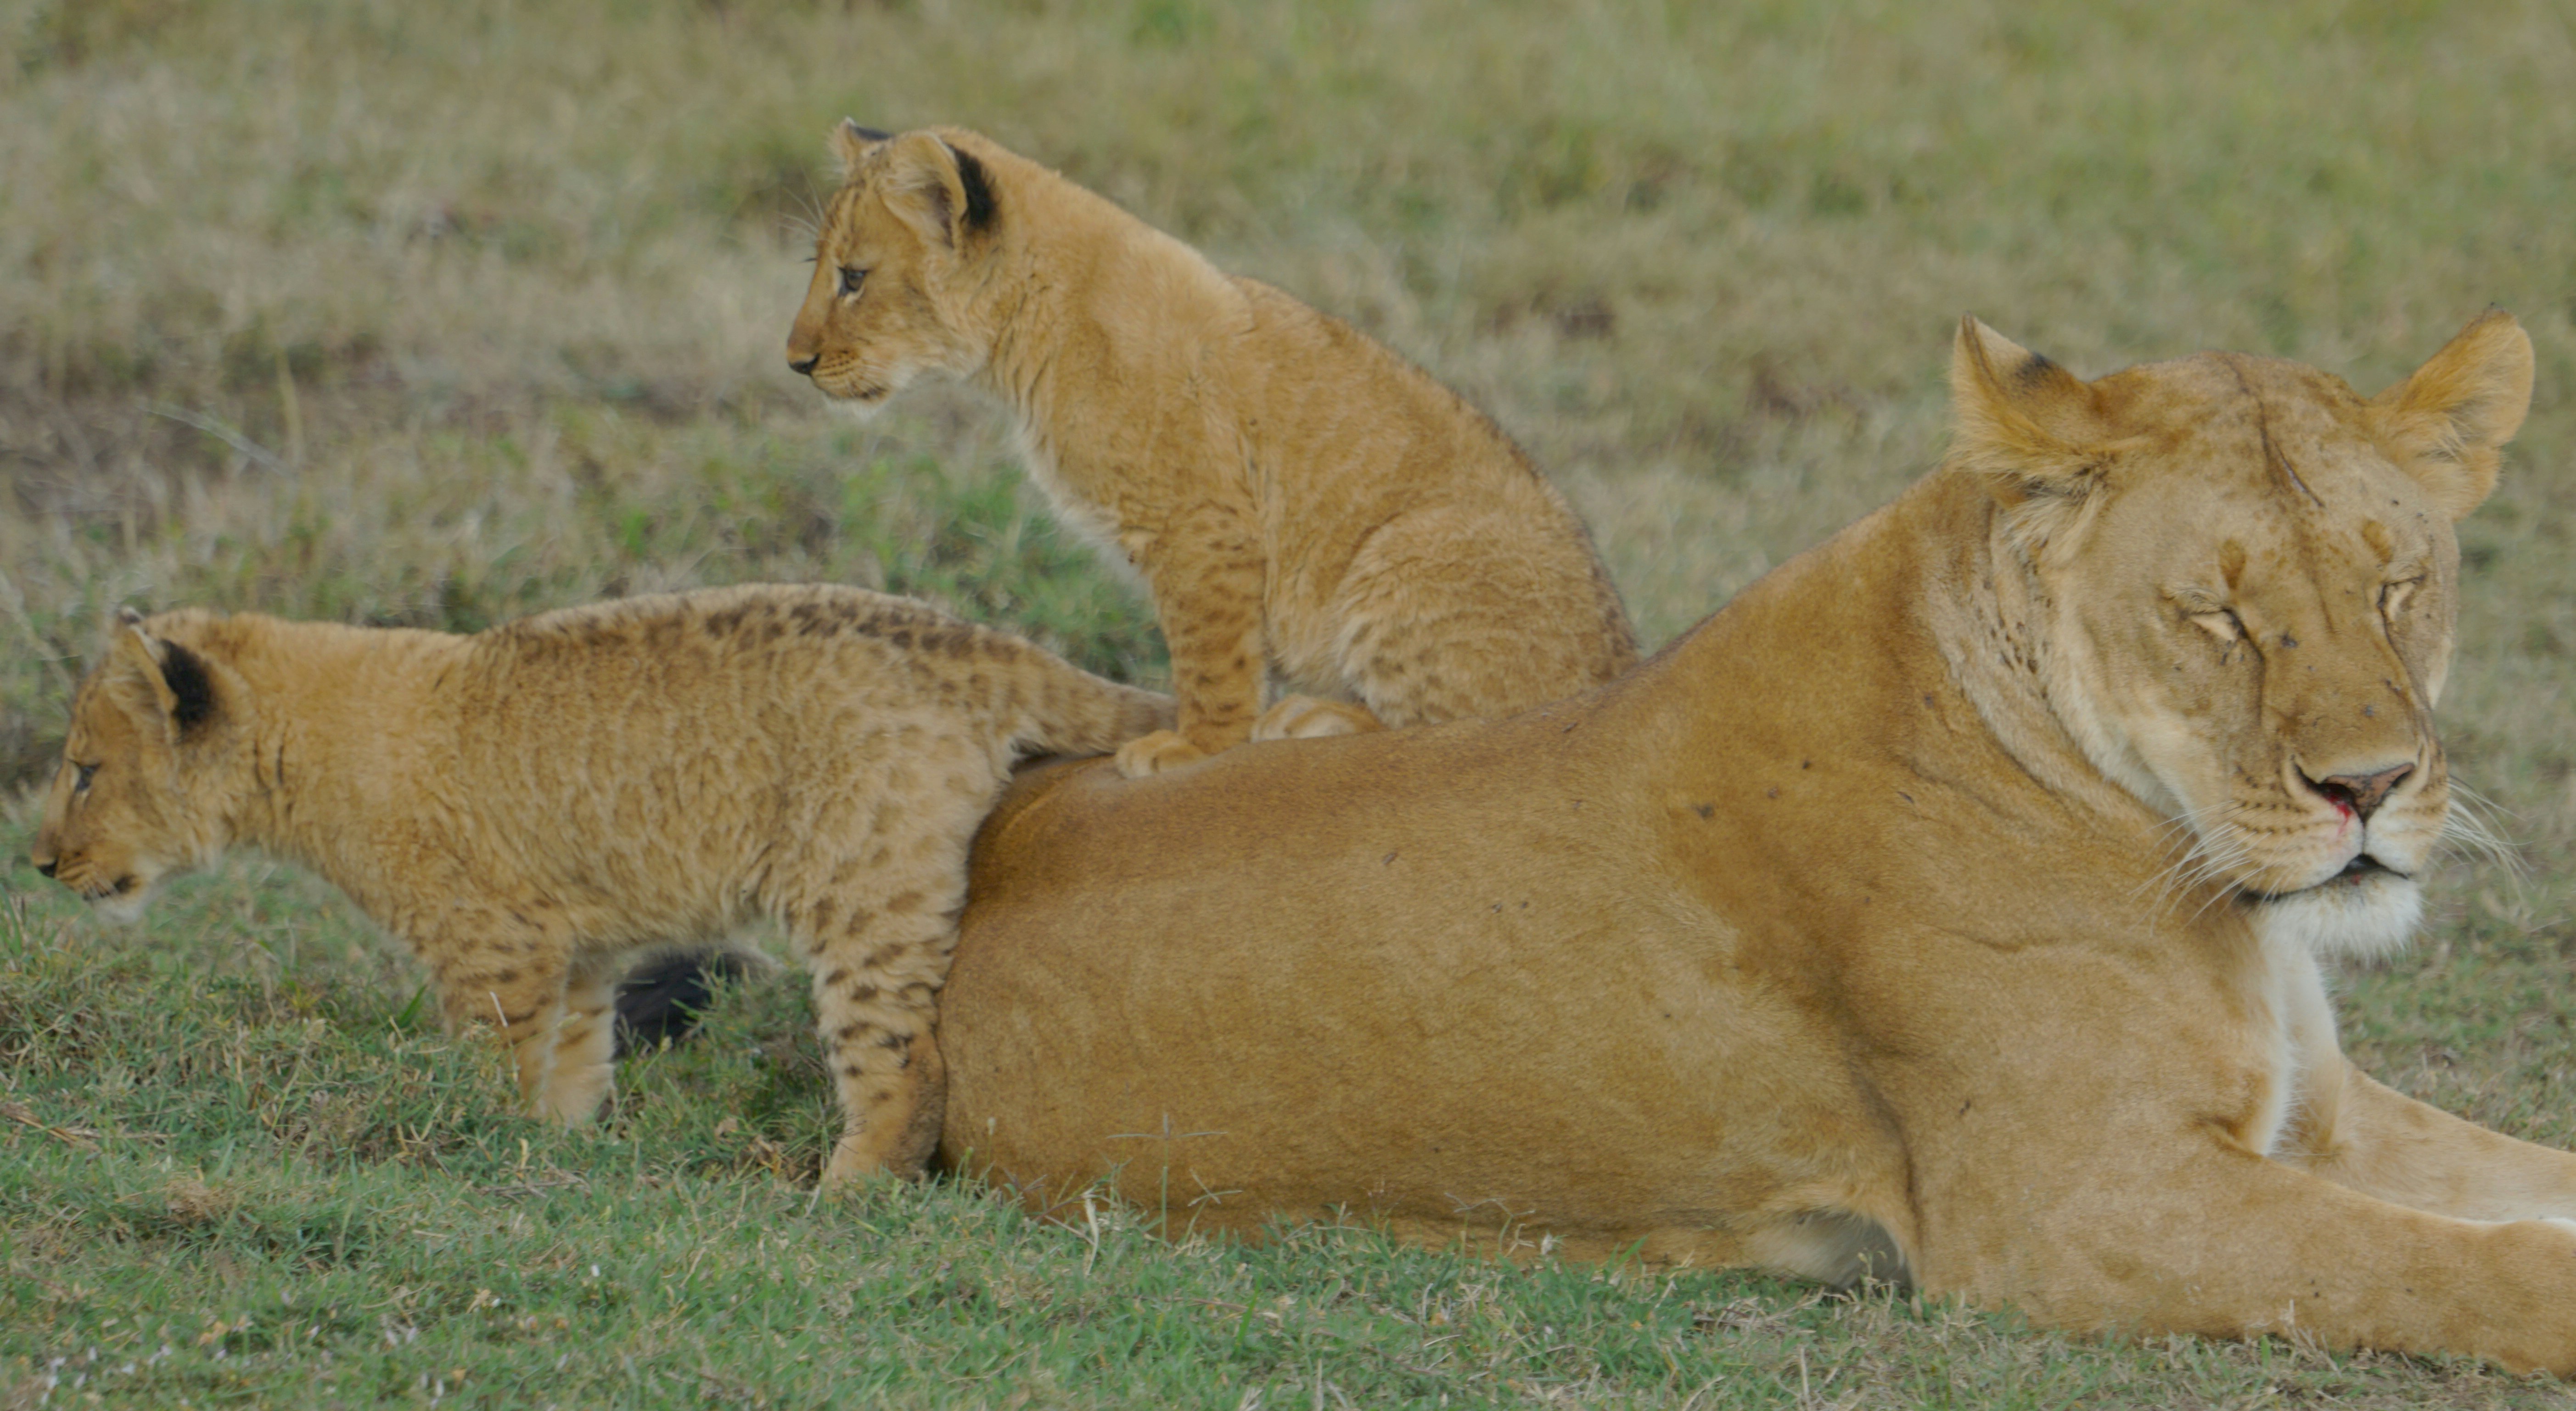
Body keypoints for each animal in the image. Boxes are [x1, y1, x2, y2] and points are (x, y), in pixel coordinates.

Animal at [28, 585, 1170, 1185]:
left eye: (84, 770)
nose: (38, 862)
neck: (303, 747)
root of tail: (973, 637)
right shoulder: (571, 949)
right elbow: (575, 1064)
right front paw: (563, 1152)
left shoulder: (492, 944)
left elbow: (489, 1070)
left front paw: (479, 1147)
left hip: (860, 885)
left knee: (903, 1061)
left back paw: (845, 1188)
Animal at [783, 123, 1639, 777]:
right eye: (824, 271)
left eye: (854, 277)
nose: (795, 363)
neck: (1029, 330)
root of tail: (1621, 674)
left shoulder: (1200, 526)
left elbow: (1210, 657)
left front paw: (1195, 746)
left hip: (1406, 552)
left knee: (1474, 732)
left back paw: (1314, 717)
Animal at [931, 311, 2576, 1372]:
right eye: (2217, 614)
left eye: (2397, 584)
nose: (2370, 785)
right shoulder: (2071, 1210)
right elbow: (2428, 1263)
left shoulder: (2318, 1122)